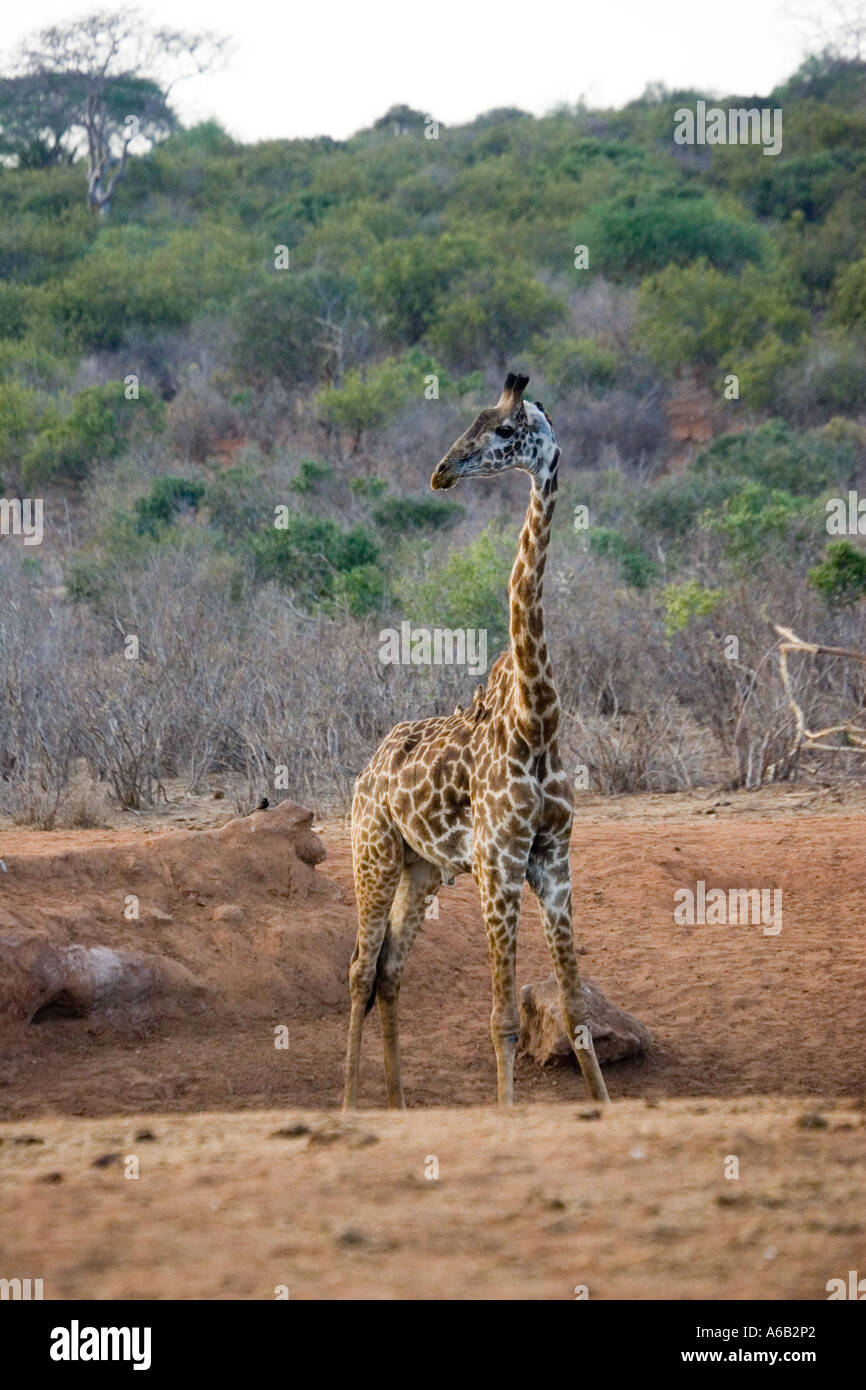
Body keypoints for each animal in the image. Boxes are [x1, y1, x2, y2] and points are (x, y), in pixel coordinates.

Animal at [343, 371, 609, 1110]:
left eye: (503, 430)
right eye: (474, 420)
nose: (440, 472)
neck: (537, 719)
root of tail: (366, 772)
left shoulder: (553, 861)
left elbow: (576, 1009)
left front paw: (606, 1107)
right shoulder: (498, 864)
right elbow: (502, 1020)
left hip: (423, 869)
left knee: (389, 972)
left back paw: (399, 1108)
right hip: (373, 853)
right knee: (358, 969)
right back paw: (348, 1104)